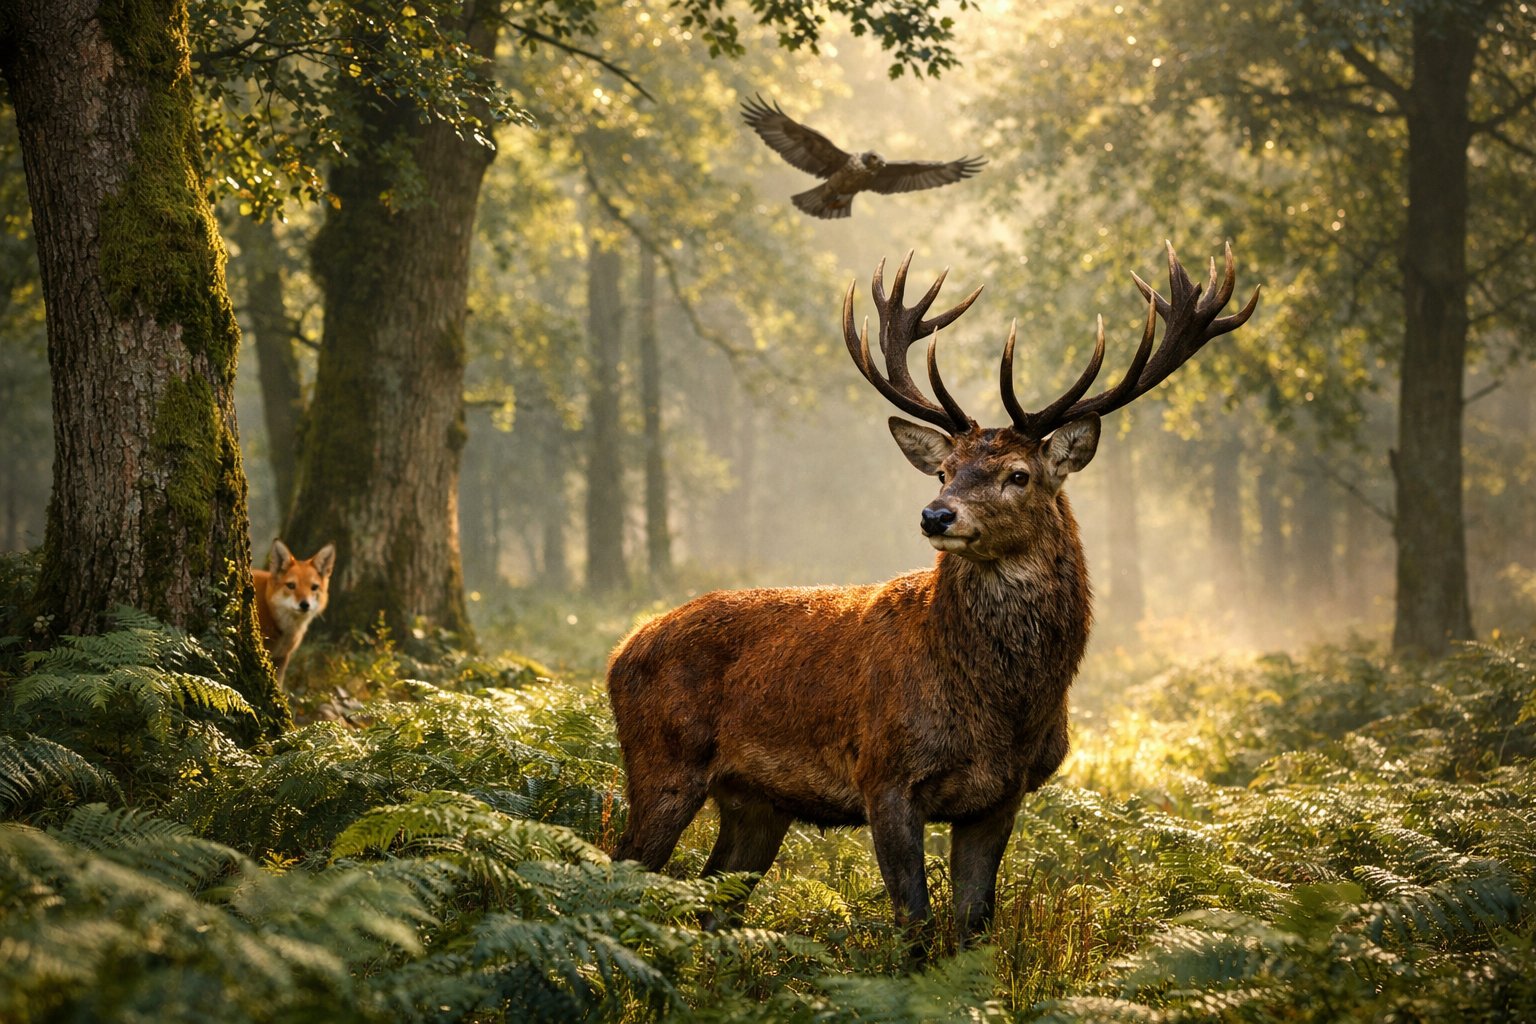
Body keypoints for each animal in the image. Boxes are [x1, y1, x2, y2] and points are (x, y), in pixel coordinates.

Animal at [606, 242, 1259, 946]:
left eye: (1018, 475)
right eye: (944, 470)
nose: (935, 515)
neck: (1002, 710)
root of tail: (619, 652)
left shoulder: (1003, 795)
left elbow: (974, 924)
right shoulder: (885, 774)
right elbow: (915, 926)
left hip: (757, 800)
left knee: (711, 903)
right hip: (662, 759)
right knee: (617, 873)